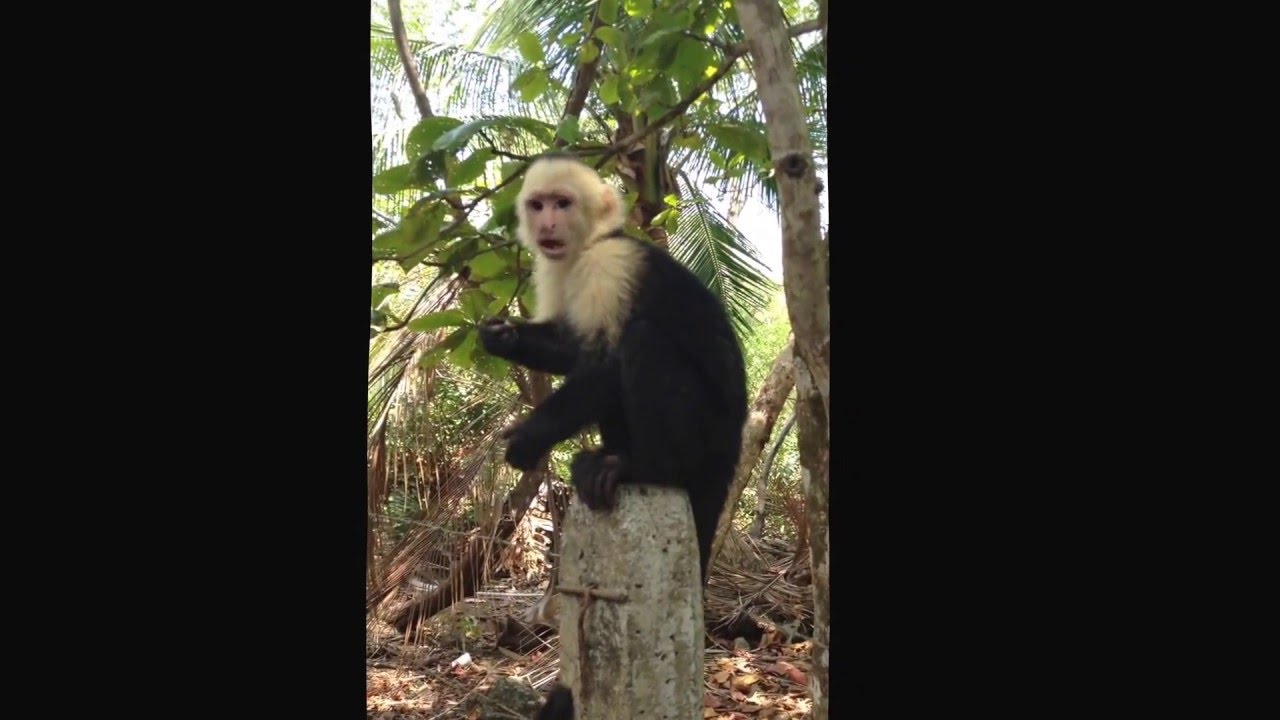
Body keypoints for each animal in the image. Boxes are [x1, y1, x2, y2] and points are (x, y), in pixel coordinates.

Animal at [483, 151, 748, 720]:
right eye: (538, 204)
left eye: (563, 203)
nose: (547, 224)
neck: (586, 248)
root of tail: (733, 446)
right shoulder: (555, 266)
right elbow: (570, 347)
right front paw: (501, 336)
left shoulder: (611, 267)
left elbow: (600, 363)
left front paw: (527, 440)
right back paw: (614, 461)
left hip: (709, 434)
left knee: (642, 341)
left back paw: (648, 467)